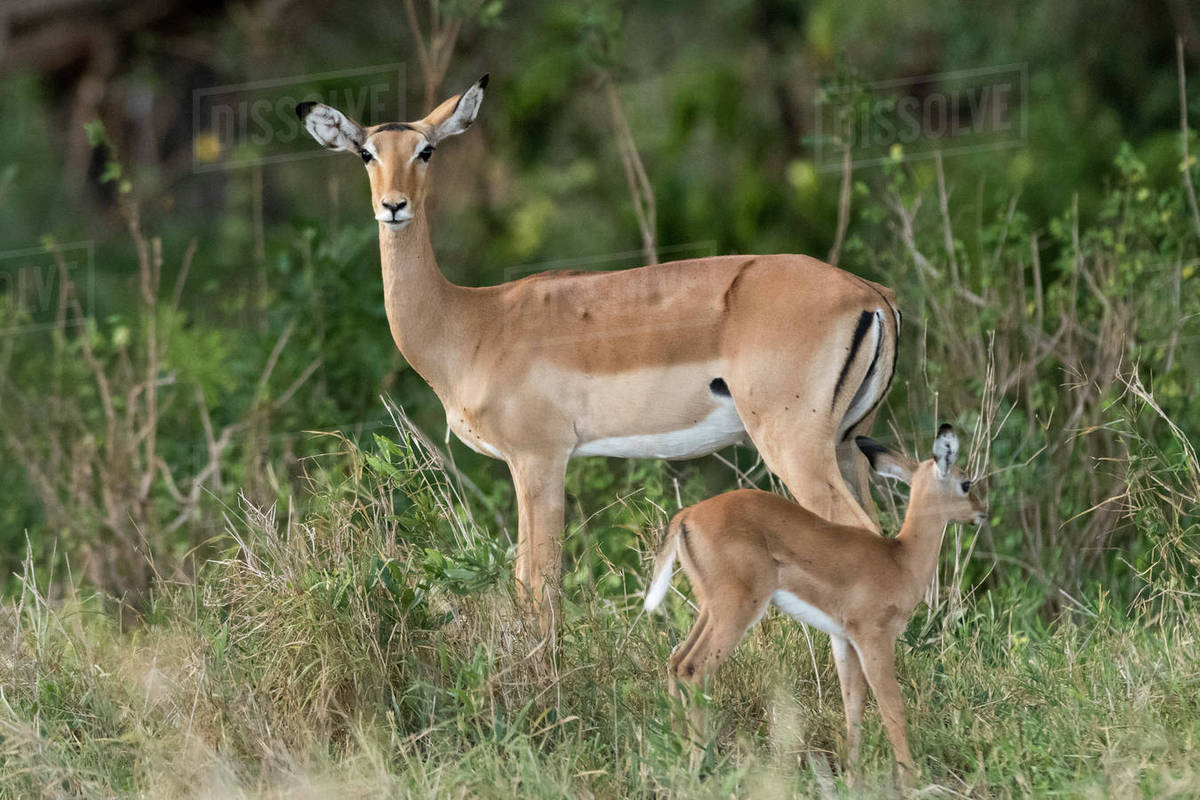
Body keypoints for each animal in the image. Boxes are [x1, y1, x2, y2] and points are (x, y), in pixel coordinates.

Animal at [296, 74, 900, 633]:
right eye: (367, 153)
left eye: (426, 150)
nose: (393, 206)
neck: (471, 322)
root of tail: (872, 296)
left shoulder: (540, 458)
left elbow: (538, 585)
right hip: (847, 445)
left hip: (795, 445)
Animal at [644, 425, 986, 783]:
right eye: (965, 482)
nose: (981, 512)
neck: (900, 559)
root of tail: (687, 515)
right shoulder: (874, 638)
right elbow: (892, 706)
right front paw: (911, 781)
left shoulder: (843, 640)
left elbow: (853, 703)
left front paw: (853, 779)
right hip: (737, 610)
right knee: (694, 667)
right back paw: (698, 765)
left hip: (711, 609)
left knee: (675, 660)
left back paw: (677, 754)